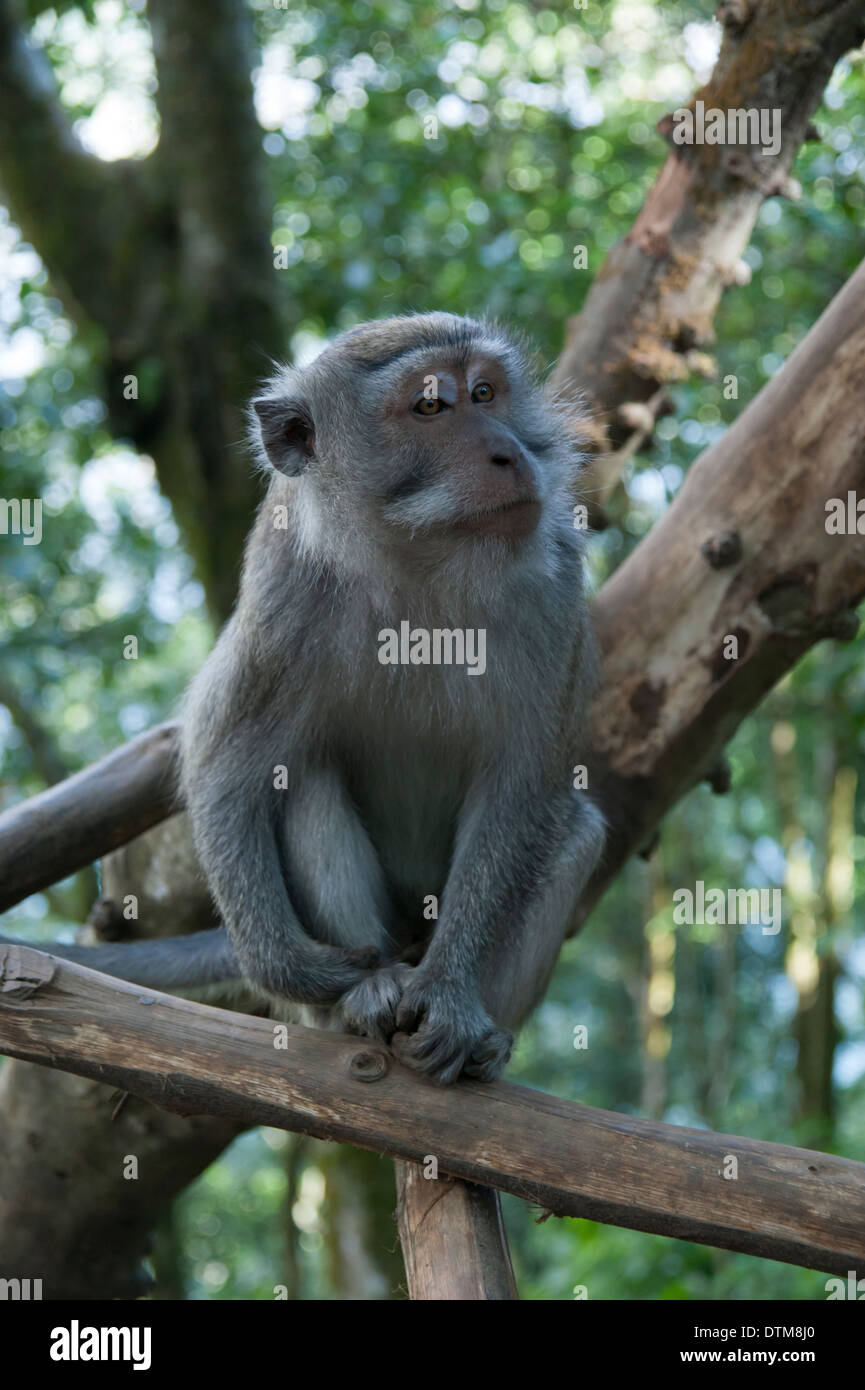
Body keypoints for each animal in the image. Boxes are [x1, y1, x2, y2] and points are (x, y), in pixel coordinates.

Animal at [2, 313, 605, 1084]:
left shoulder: (556, 585)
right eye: (431, 405)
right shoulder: (282, 594)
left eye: (484, 393)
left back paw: (482, 1040)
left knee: (573, 829)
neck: (421, 566)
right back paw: (362, 999)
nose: (508, 452)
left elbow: (522, 786)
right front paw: (288, 967)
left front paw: (450, 996)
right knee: (302, 776)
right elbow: (224, 765)